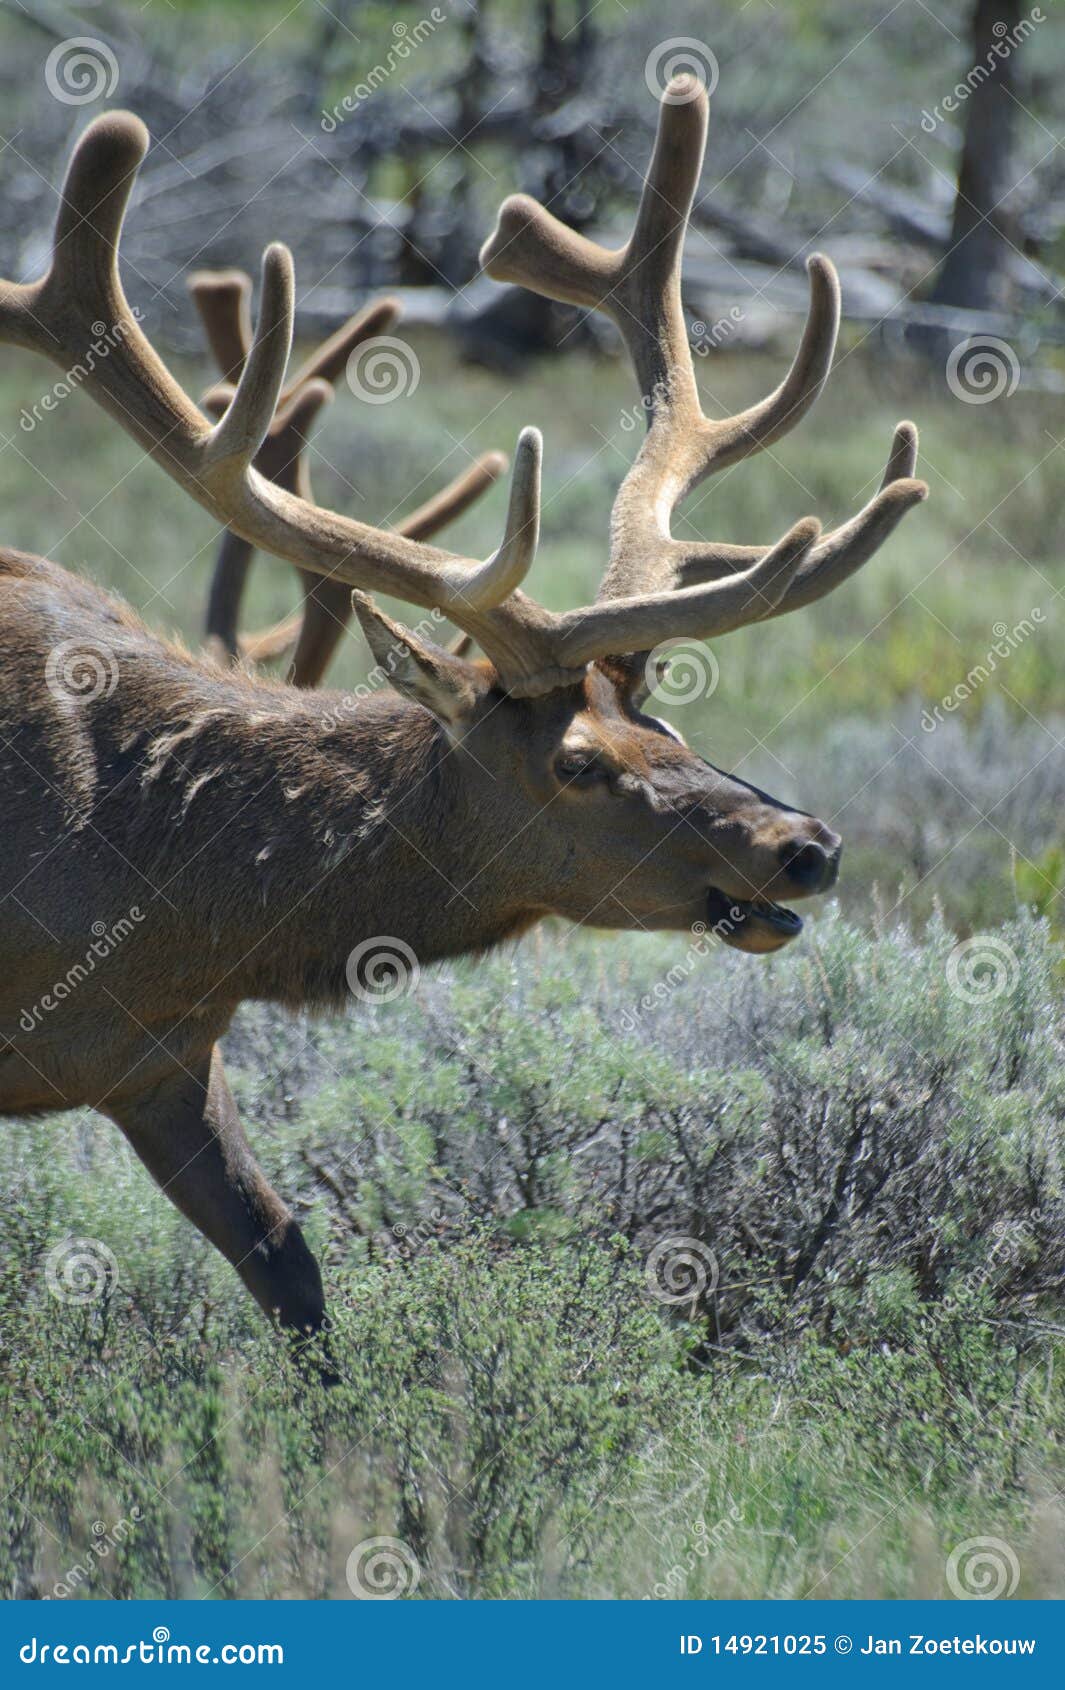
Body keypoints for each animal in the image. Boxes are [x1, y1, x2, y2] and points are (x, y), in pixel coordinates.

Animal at [0, 77, 926, 1346]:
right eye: (575, 762)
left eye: (667, 727)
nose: (806, 845)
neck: (155, 900)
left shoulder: (162, 1055)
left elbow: (290, 1266)